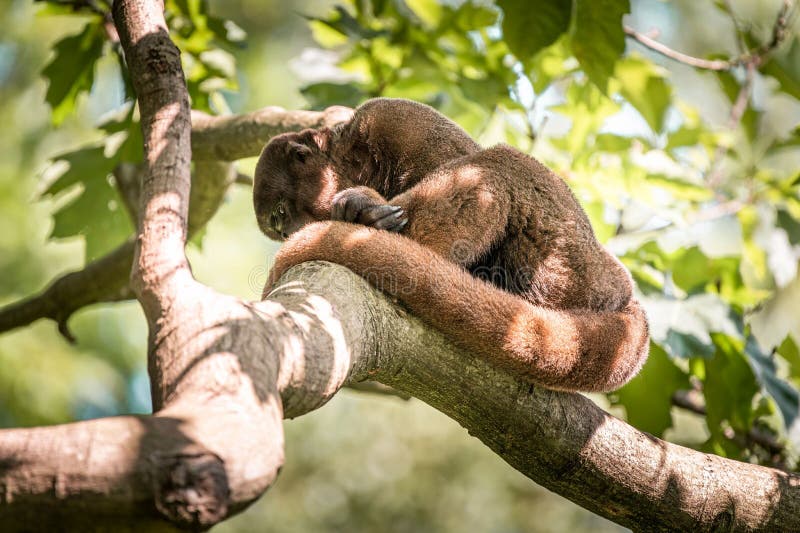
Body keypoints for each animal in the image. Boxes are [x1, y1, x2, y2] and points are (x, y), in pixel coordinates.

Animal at [254, 97, 649, 393]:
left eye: (281, 213)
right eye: (279, 229)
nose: (292, 232)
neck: (350, 159)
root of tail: (627, 299)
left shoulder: (395, 120)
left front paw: (365, 210)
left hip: (568, 265)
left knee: (500, 164)